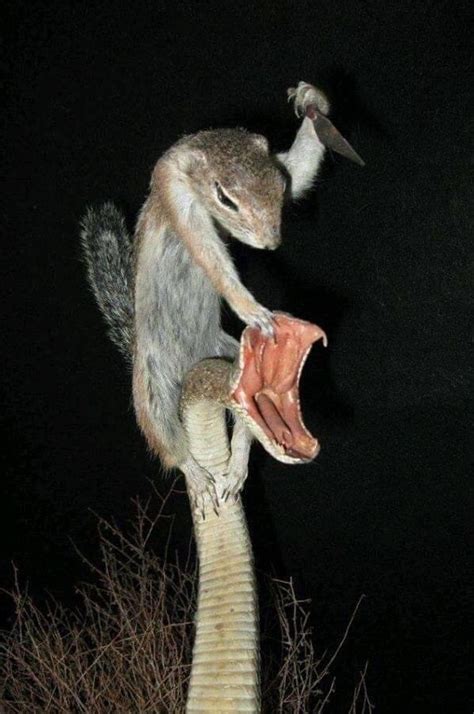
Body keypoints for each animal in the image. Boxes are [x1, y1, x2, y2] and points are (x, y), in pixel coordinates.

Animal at [81, 82, 330, 509]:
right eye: (225, 198)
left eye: (280, 186)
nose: (271, 243)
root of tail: (189, 366)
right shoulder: (176, 197)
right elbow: (212, 259)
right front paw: (252, 309)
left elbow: (300, 165)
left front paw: (312, 100)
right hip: (150, 389)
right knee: (169, 444)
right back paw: (196, 475)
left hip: (230, 359)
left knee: (247, 424)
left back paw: (236, 467)